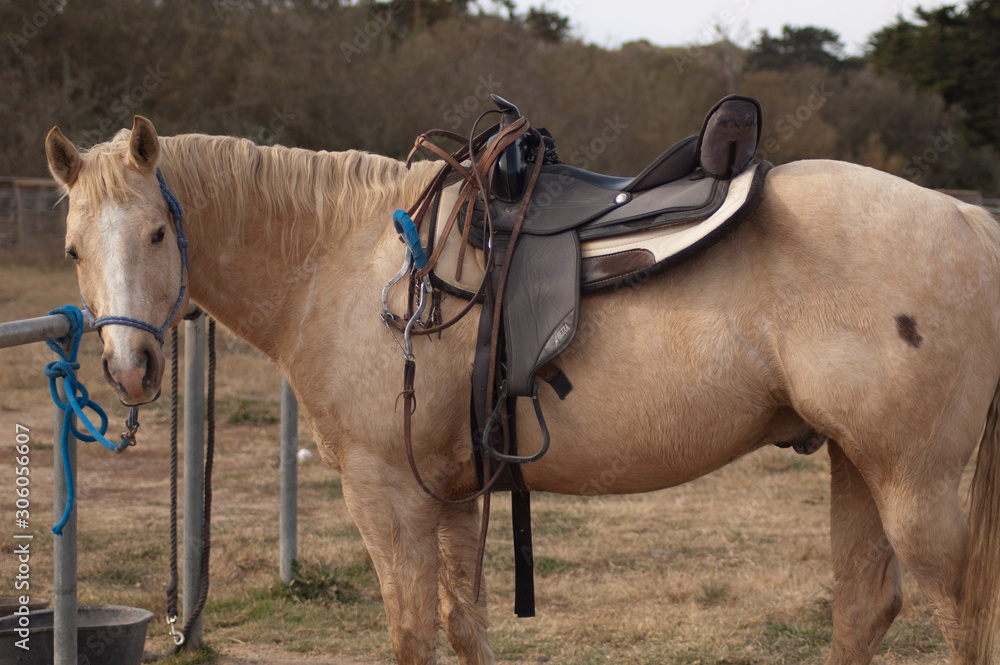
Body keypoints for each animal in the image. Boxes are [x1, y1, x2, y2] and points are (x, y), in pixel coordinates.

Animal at [44, 115, 1000, 665]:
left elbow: (412, 634)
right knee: (866, 606)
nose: (130, 369)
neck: (345, 259)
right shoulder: (451, 494)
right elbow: (465, 626)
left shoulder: (389, 498)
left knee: (959, 610)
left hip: (912, 482)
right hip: (857, 463)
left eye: (159, 232)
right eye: (73, 248)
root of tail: (967, 217)